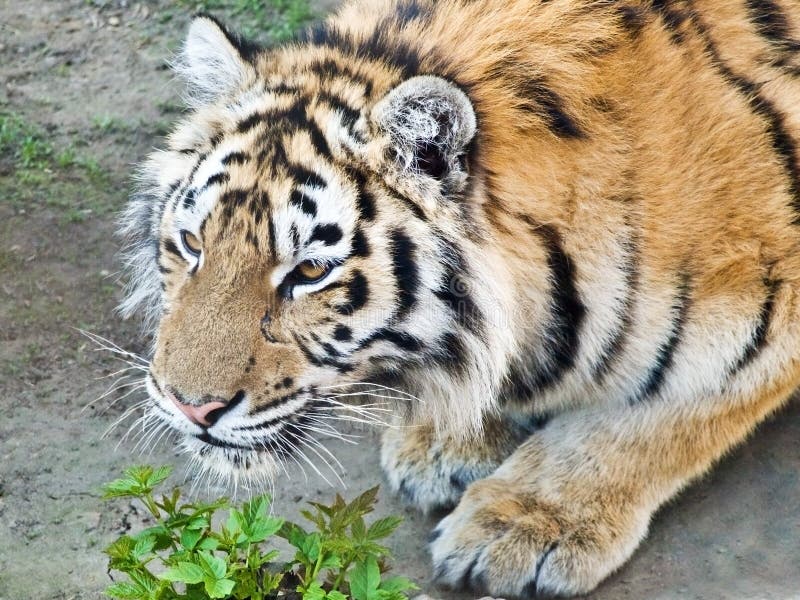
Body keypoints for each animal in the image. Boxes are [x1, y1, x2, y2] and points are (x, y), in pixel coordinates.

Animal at [119, 0, 800, 596]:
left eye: (310, 270)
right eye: (192, 243)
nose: (189, 408)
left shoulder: (762, 308)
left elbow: (644, 423)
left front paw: (521, 525)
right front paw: (444, 441)